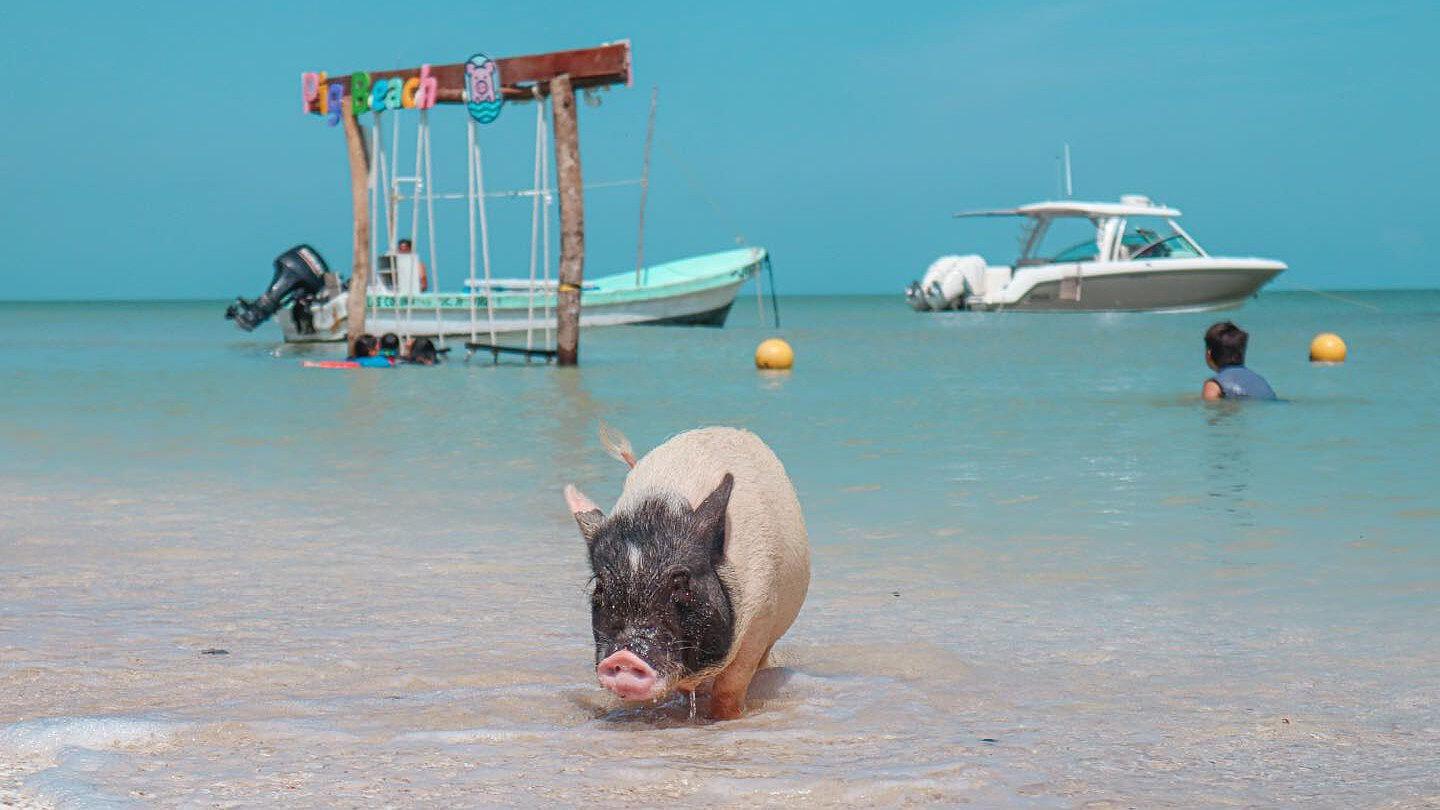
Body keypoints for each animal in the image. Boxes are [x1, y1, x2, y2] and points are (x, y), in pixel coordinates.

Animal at [563, 425, 810, 720]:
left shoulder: (761, 617)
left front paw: (724, 718)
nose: (623, 657)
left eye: (681, 582)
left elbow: (730, 686)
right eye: (601, 587)